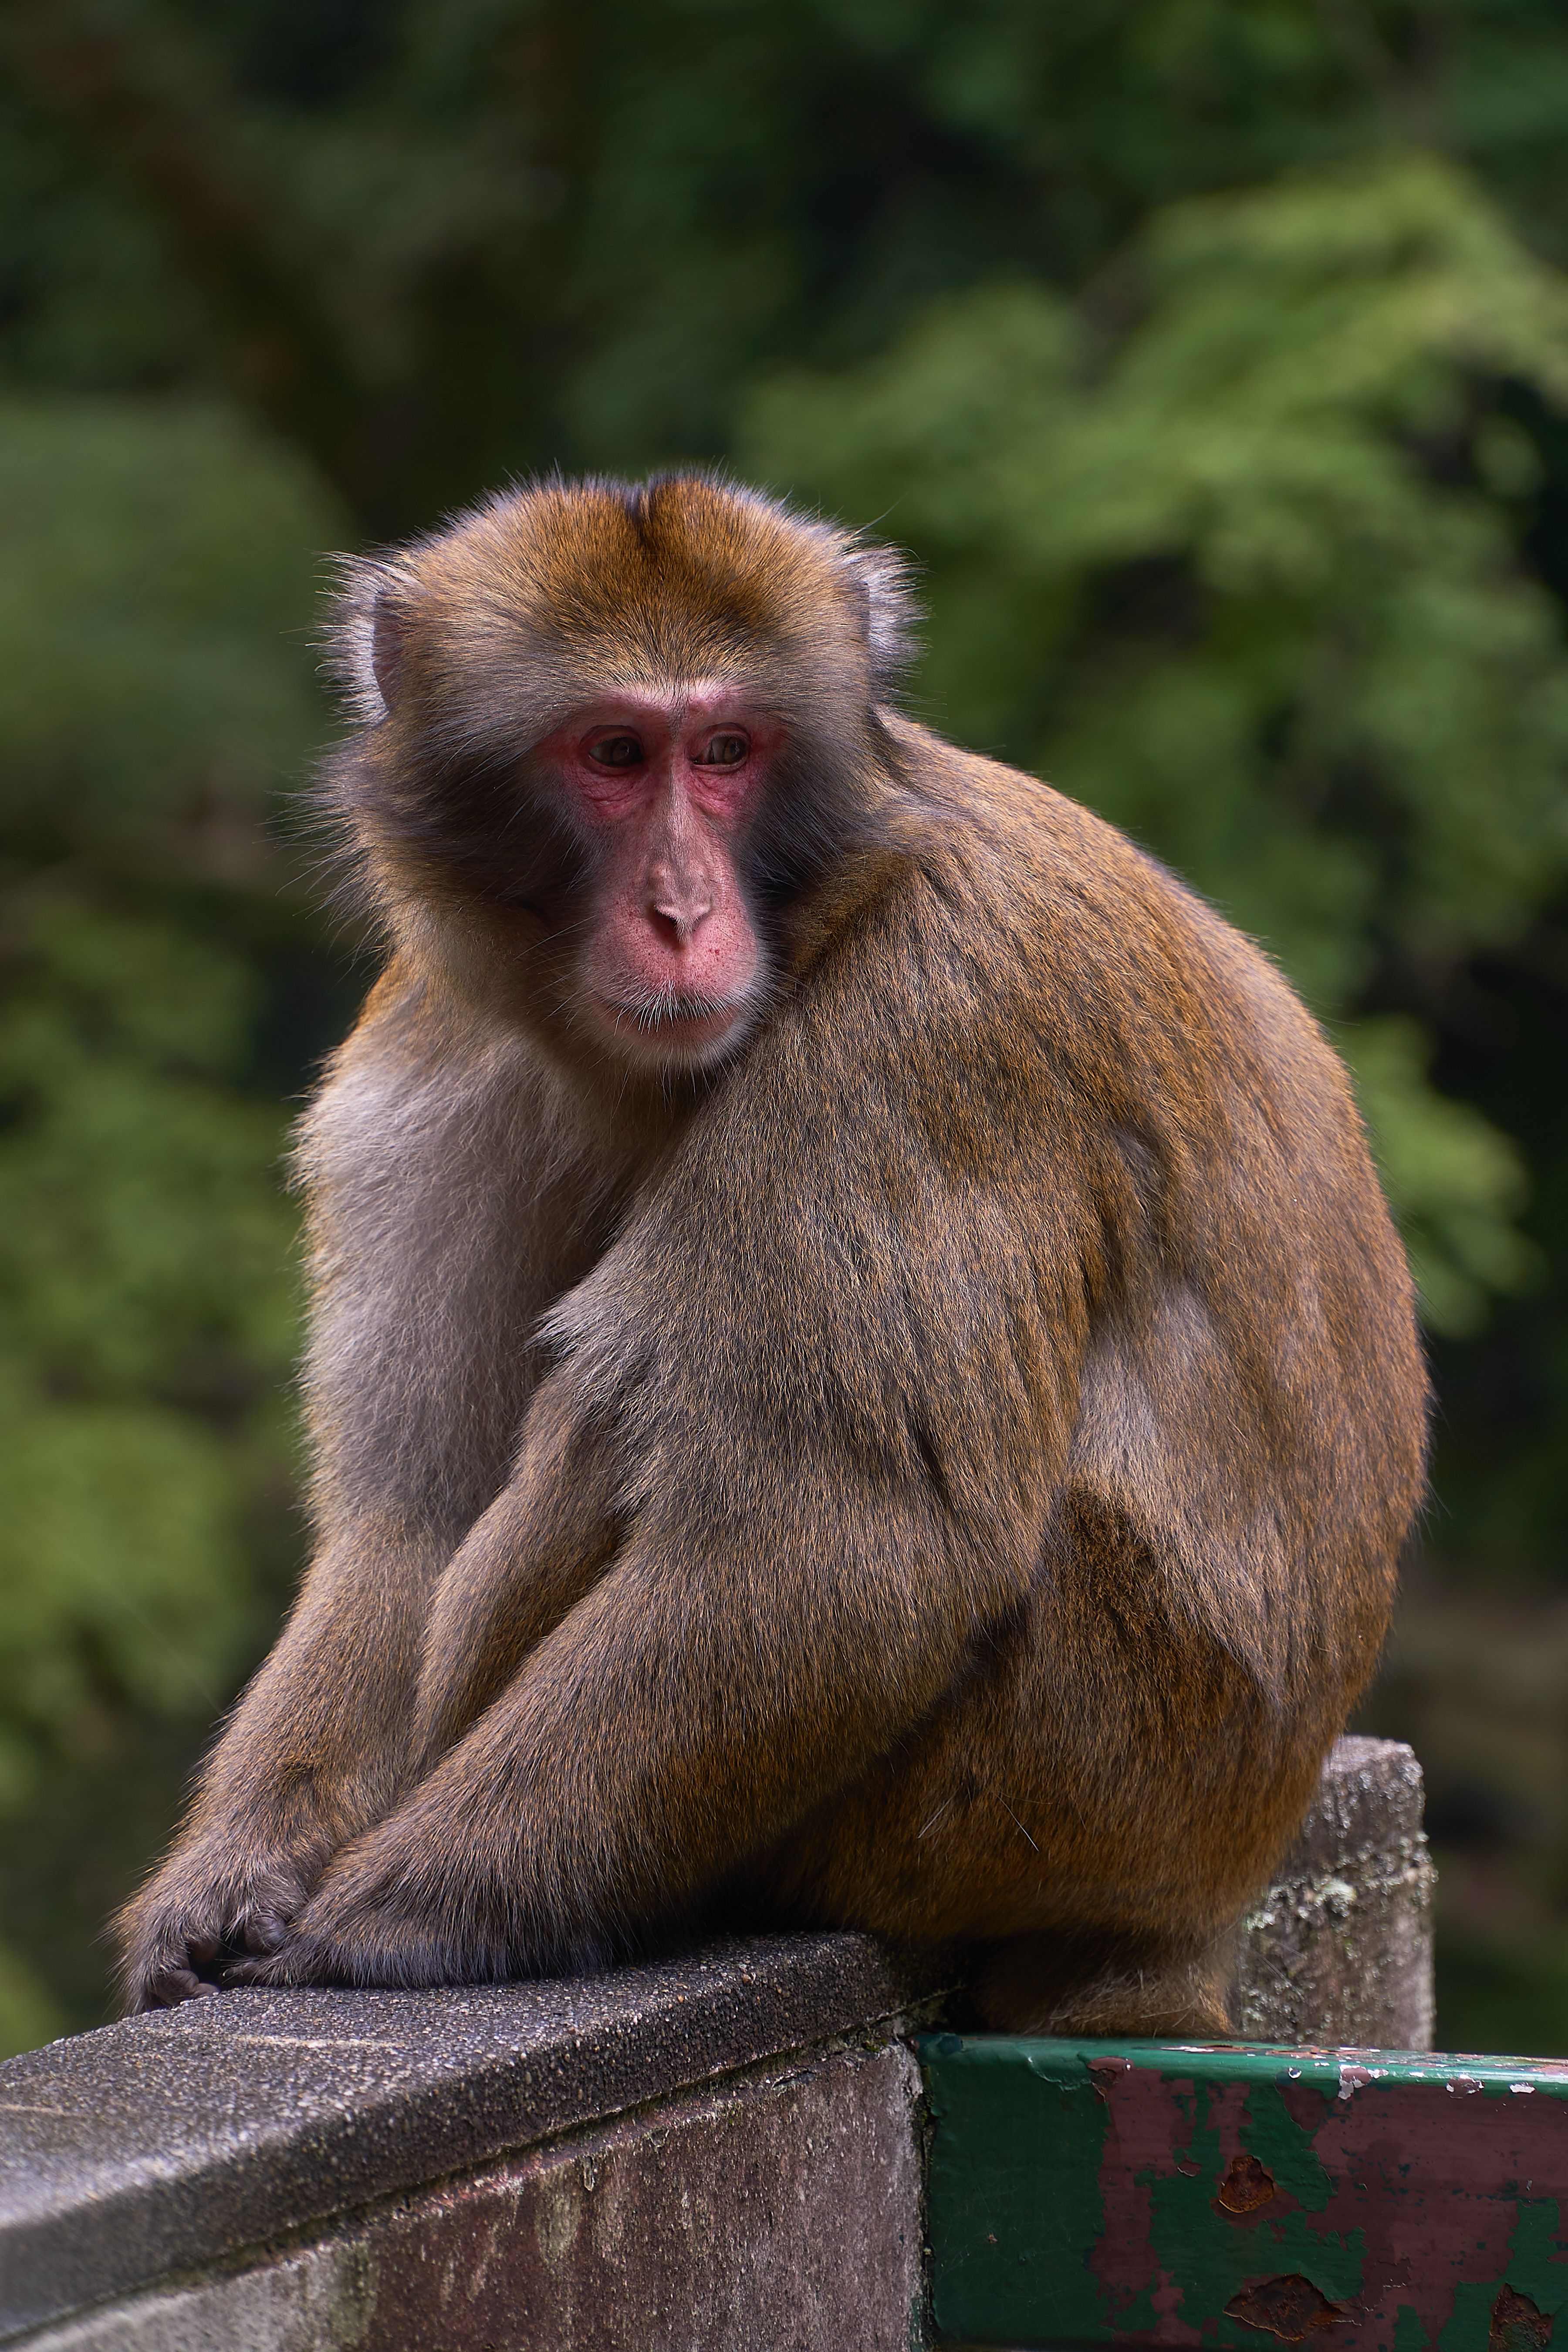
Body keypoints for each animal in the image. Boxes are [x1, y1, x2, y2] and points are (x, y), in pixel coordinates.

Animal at [115, 472, 1427, 2036]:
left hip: (1063, 1765)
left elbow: (846, 1532)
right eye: (618, 753)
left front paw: (396, 1914)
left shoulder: (930, 1021)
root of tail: (1200, 1902)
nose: (683, 914)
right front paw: (234, 1883)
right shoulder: (431, 1047)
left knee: (633, 1395)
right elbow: (408, 1515)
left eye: (729, 750)